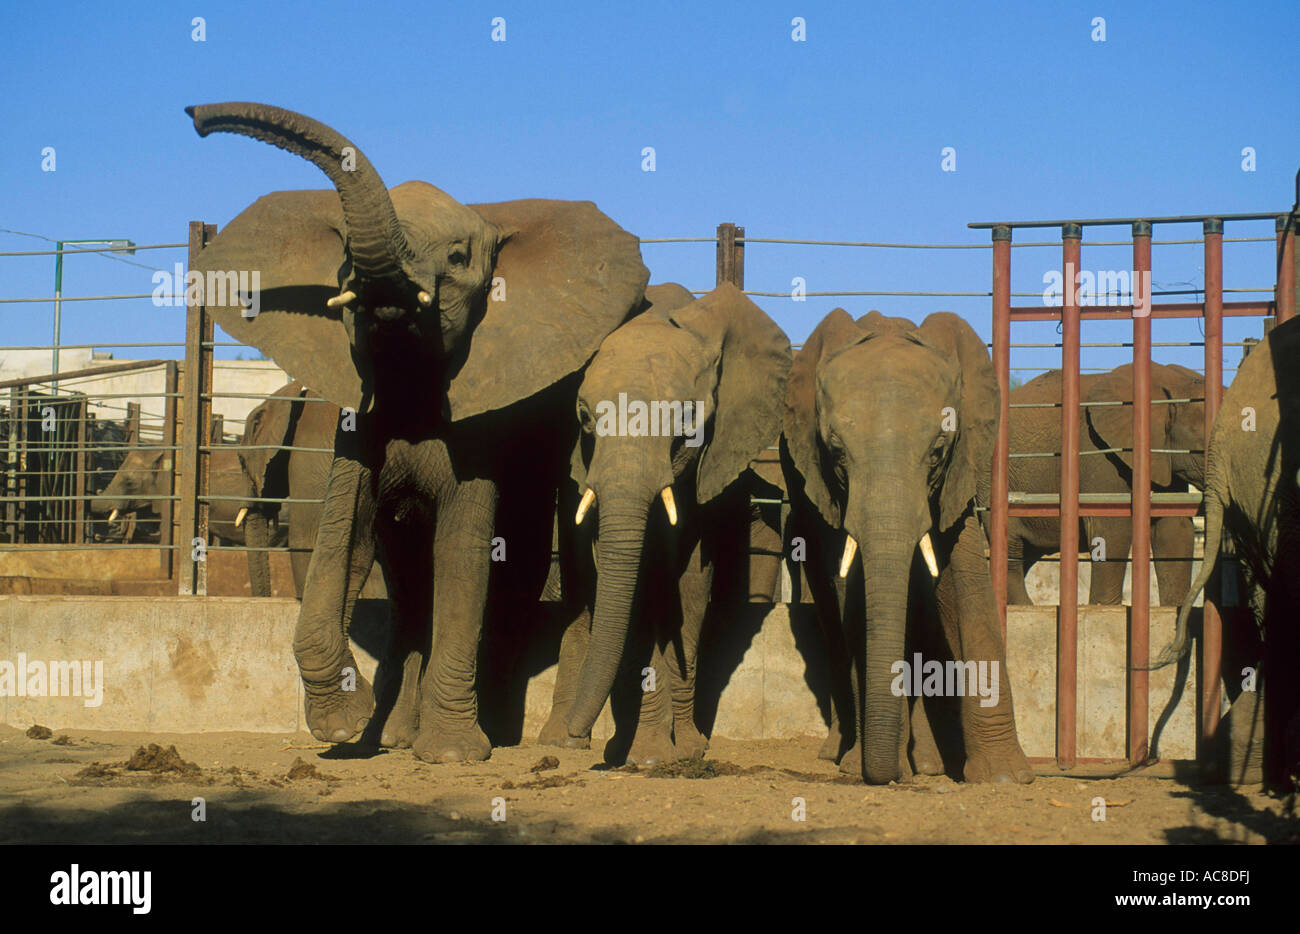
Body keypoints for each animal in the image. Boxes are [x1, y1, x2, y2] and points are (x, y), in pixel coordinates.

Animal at [187, 102, 648, 762]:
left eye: (457, 259)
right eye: (343, 256)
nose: (197, 118)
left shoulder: (482, 419)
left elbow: (463, 546)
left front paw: (453, 753)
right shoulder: (356, 416)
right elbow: (345, 535)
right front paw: (342, 727)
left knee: (517, 561)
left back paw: (483, 732)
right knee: (407, 579)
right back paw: (396, 735)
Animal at [539, 282, 791, 765]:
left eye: (687, 422)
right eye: (584, 418)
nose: (581, 732)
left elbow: (689, 584)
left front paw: (684, 751)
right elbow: (636, 584)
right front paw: (650, 754)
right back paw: (560, 738)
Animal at [782, 308, 1033, 784]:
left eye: (936, 452)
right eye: (836, 454)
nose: (883, 773)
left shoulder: (958, 472)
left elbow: (965, 582)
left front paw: (1005, 776)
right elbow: (854, 598)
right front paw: (871, 764)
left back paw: (928, 766)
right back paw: (846, 753)